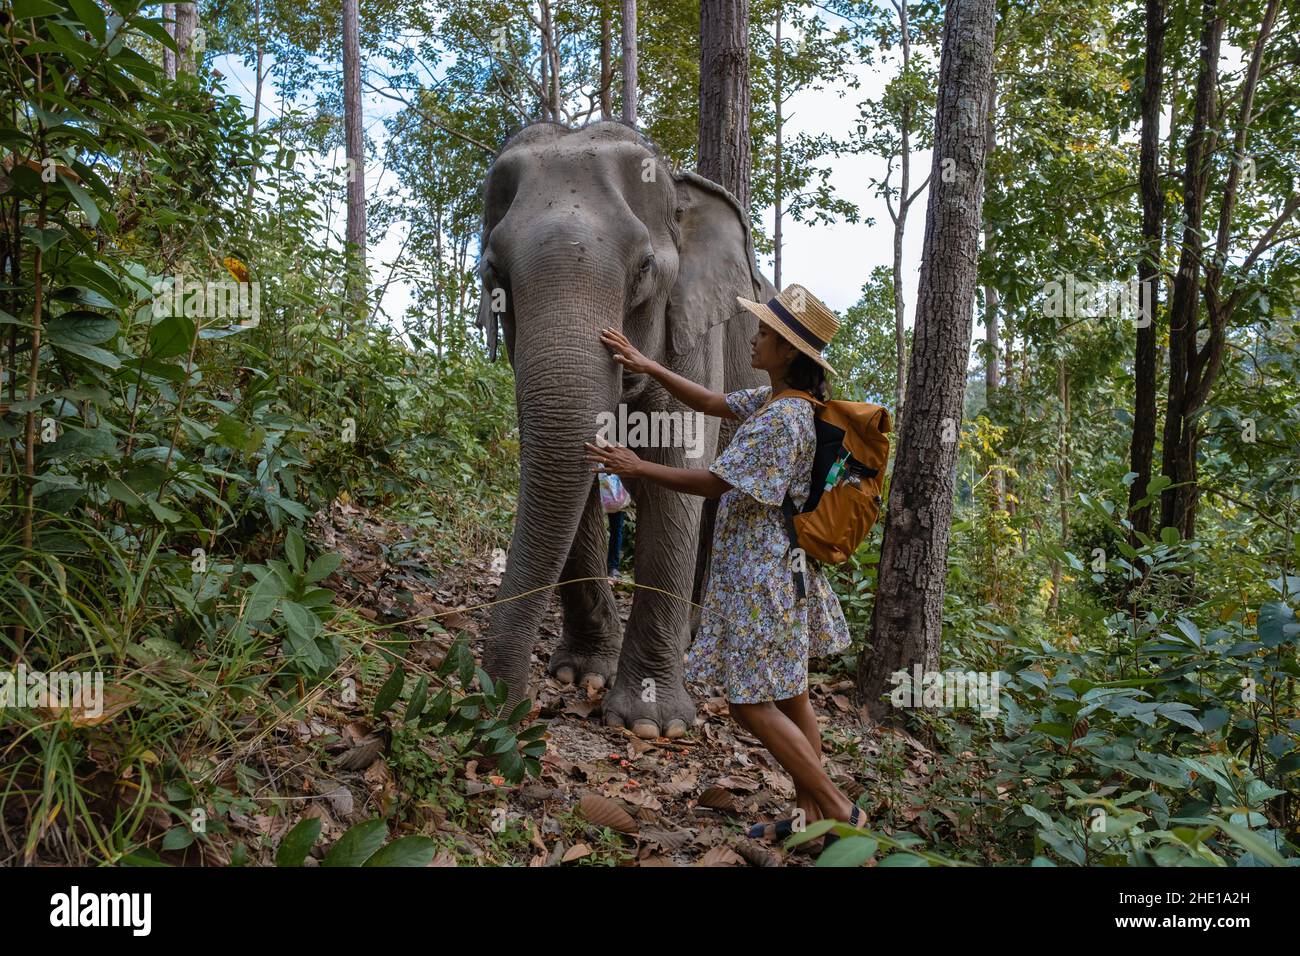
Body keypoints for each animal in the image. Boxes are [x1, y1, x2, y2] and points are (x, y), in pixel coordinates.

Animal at [476, 120, 772, 739]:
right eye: (494, 273)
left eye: (644, 269)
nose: (508, 709)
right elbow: (572, 473)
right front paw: (582, 673)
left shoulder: (694, 335)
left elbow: (675, 482)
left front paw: (653, 724)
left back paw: (694, 644)